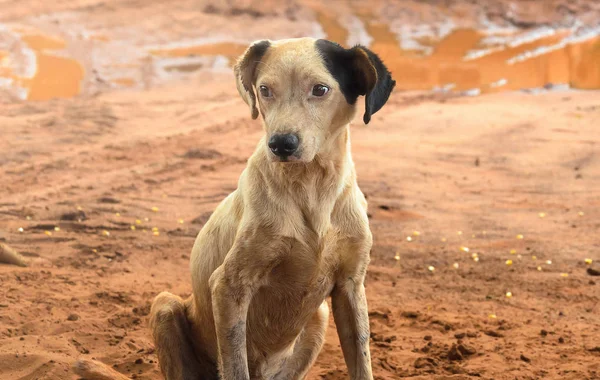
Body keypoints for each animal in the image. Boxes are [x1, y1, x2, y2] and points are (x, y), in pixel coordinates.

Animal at [149, 36, 394, 380]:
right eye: (265, 90)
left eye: (320, 89)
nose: (280, 144)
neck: (310, 185)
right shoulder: (229, 286)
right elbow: (235, 365)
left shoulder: (350, 285)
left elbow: (362, 361)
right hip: (165, 306)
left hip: (318, 316)